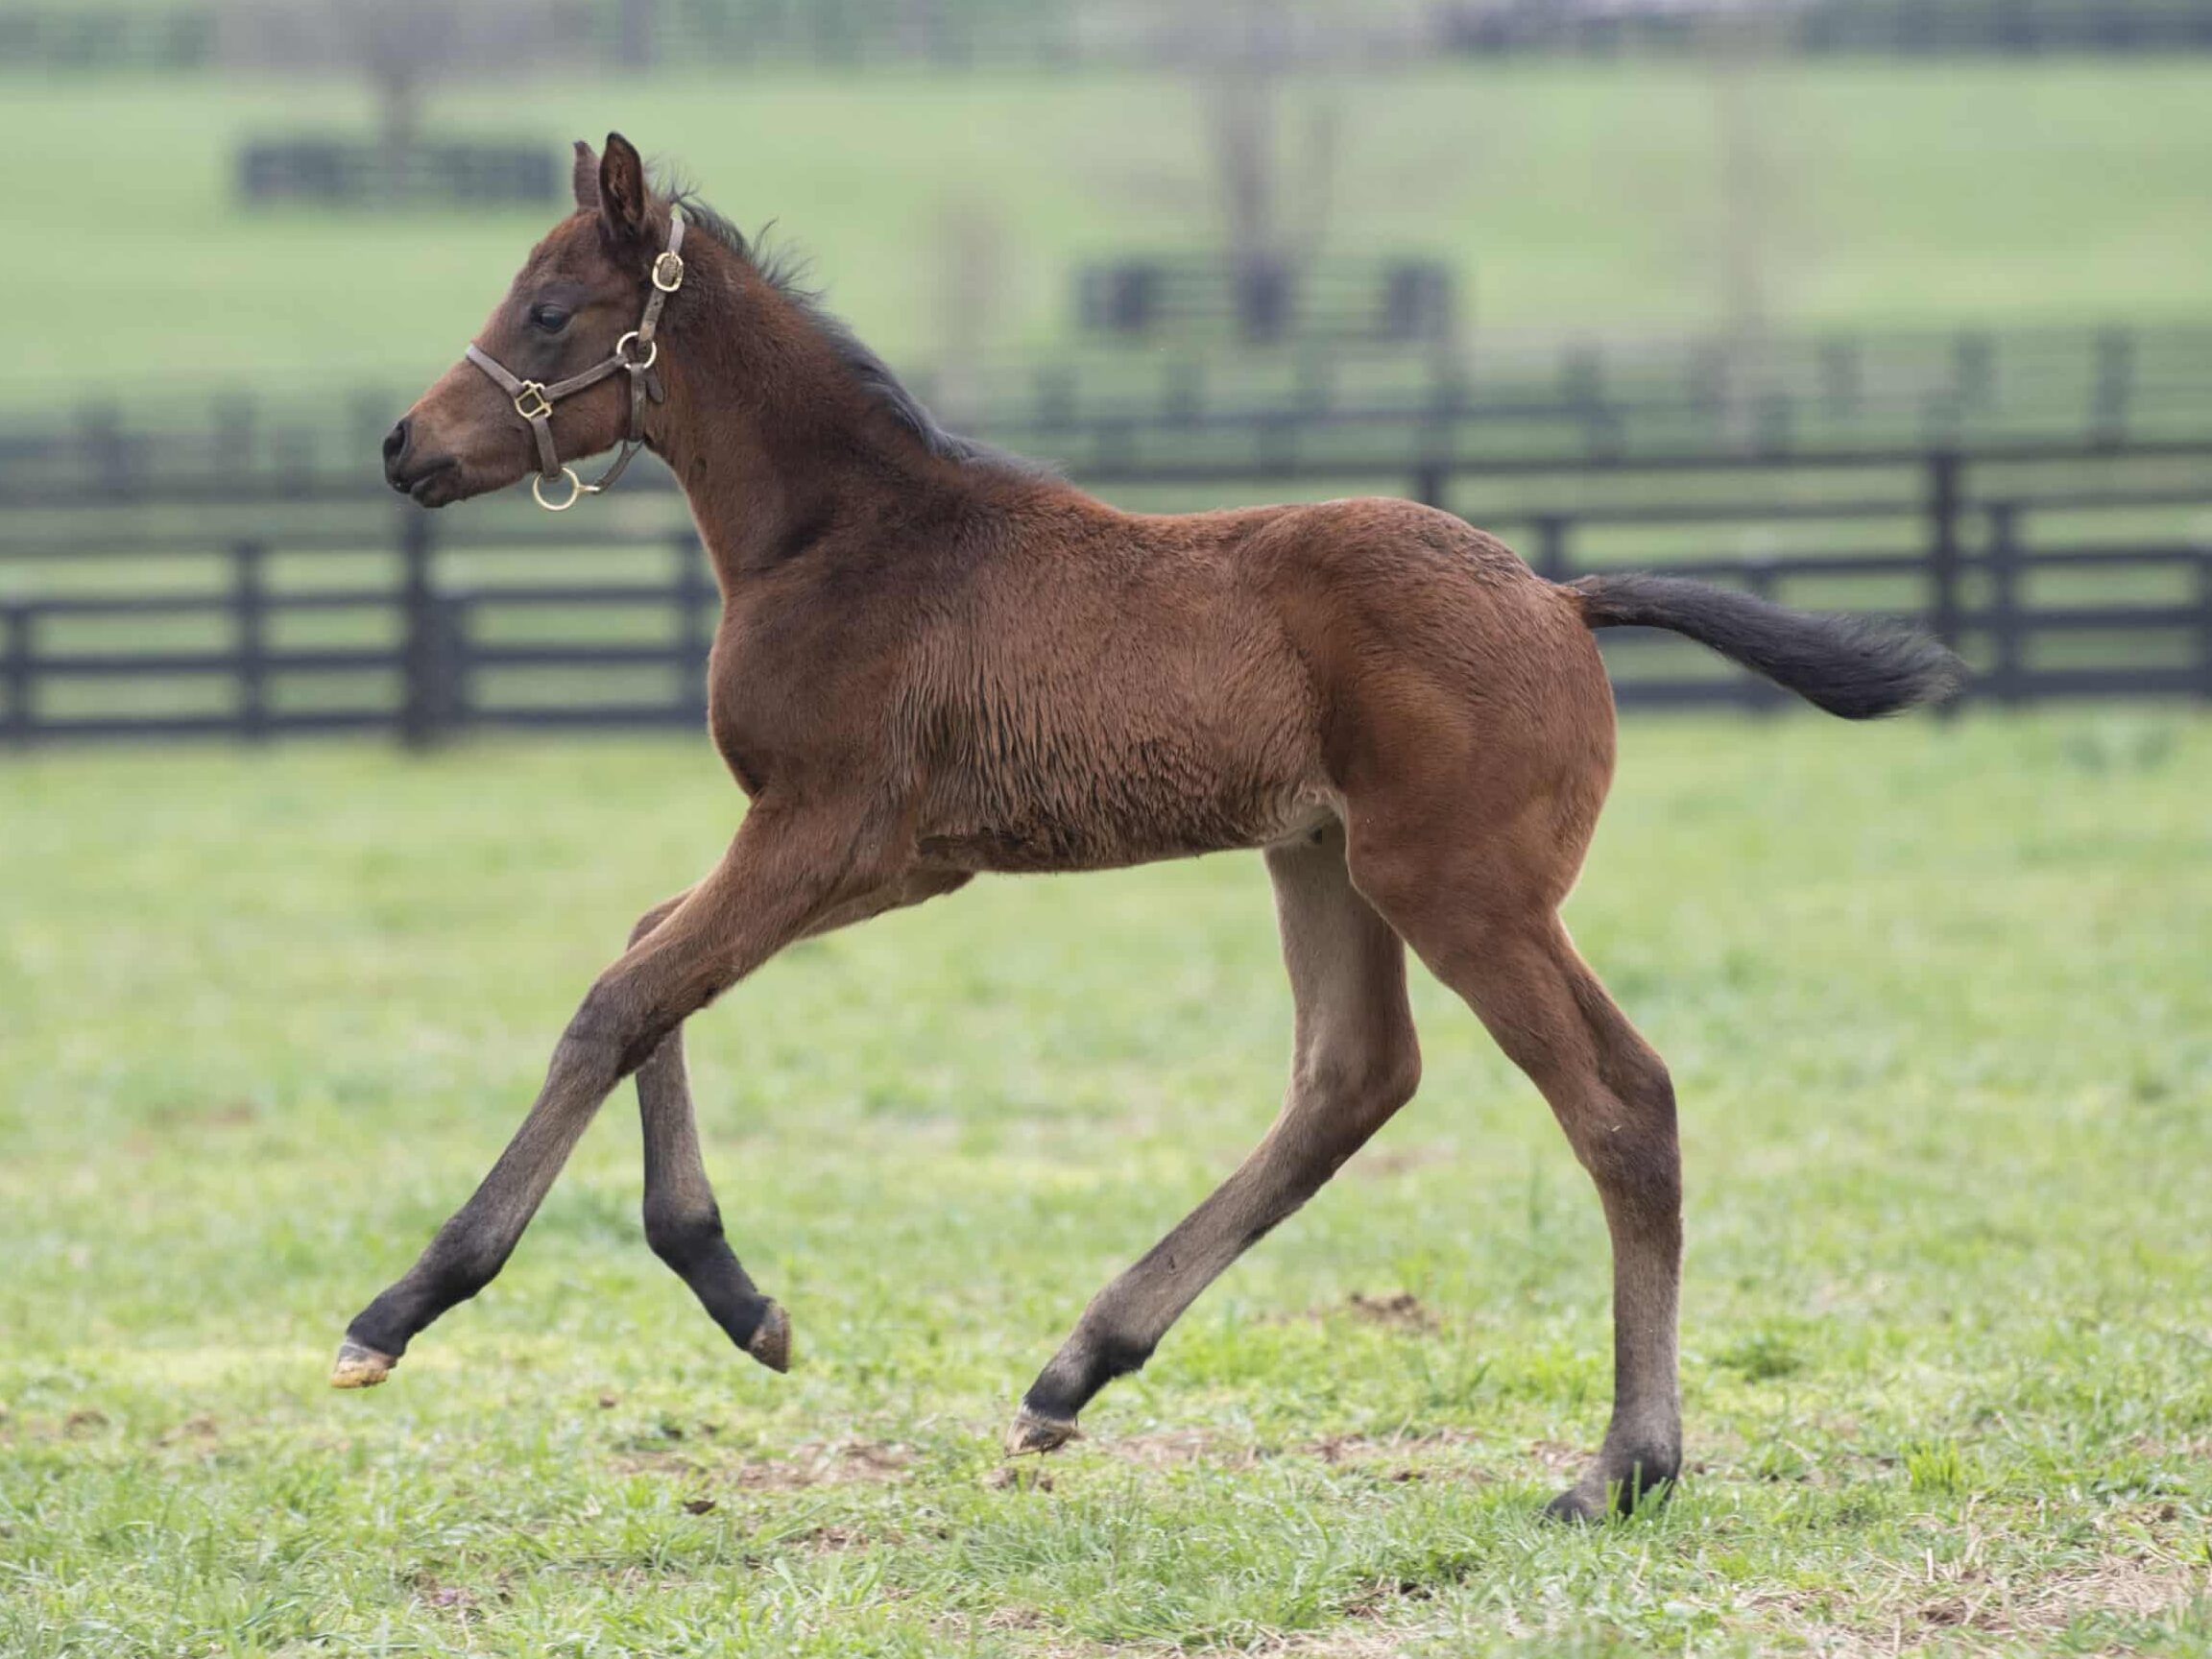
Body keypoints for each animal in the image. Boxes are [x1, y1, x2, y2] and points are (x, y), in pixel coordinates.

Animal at [362, 132, 1962, 1519]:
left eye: (550, 309)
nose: (401, 445)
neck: (843, 539)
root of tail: (1559, 597)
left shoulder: (820, 827)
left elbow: (618, 996)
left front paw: (405, 1304)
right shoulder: (899, 857)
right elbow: (651, 968)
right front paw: (739, 1295)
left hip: (1464, 889)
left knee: (1622, 1105)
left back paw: (1625, 1467)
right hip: (1323, 859)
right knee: (1352, 1079)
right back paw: (1074, 1370)